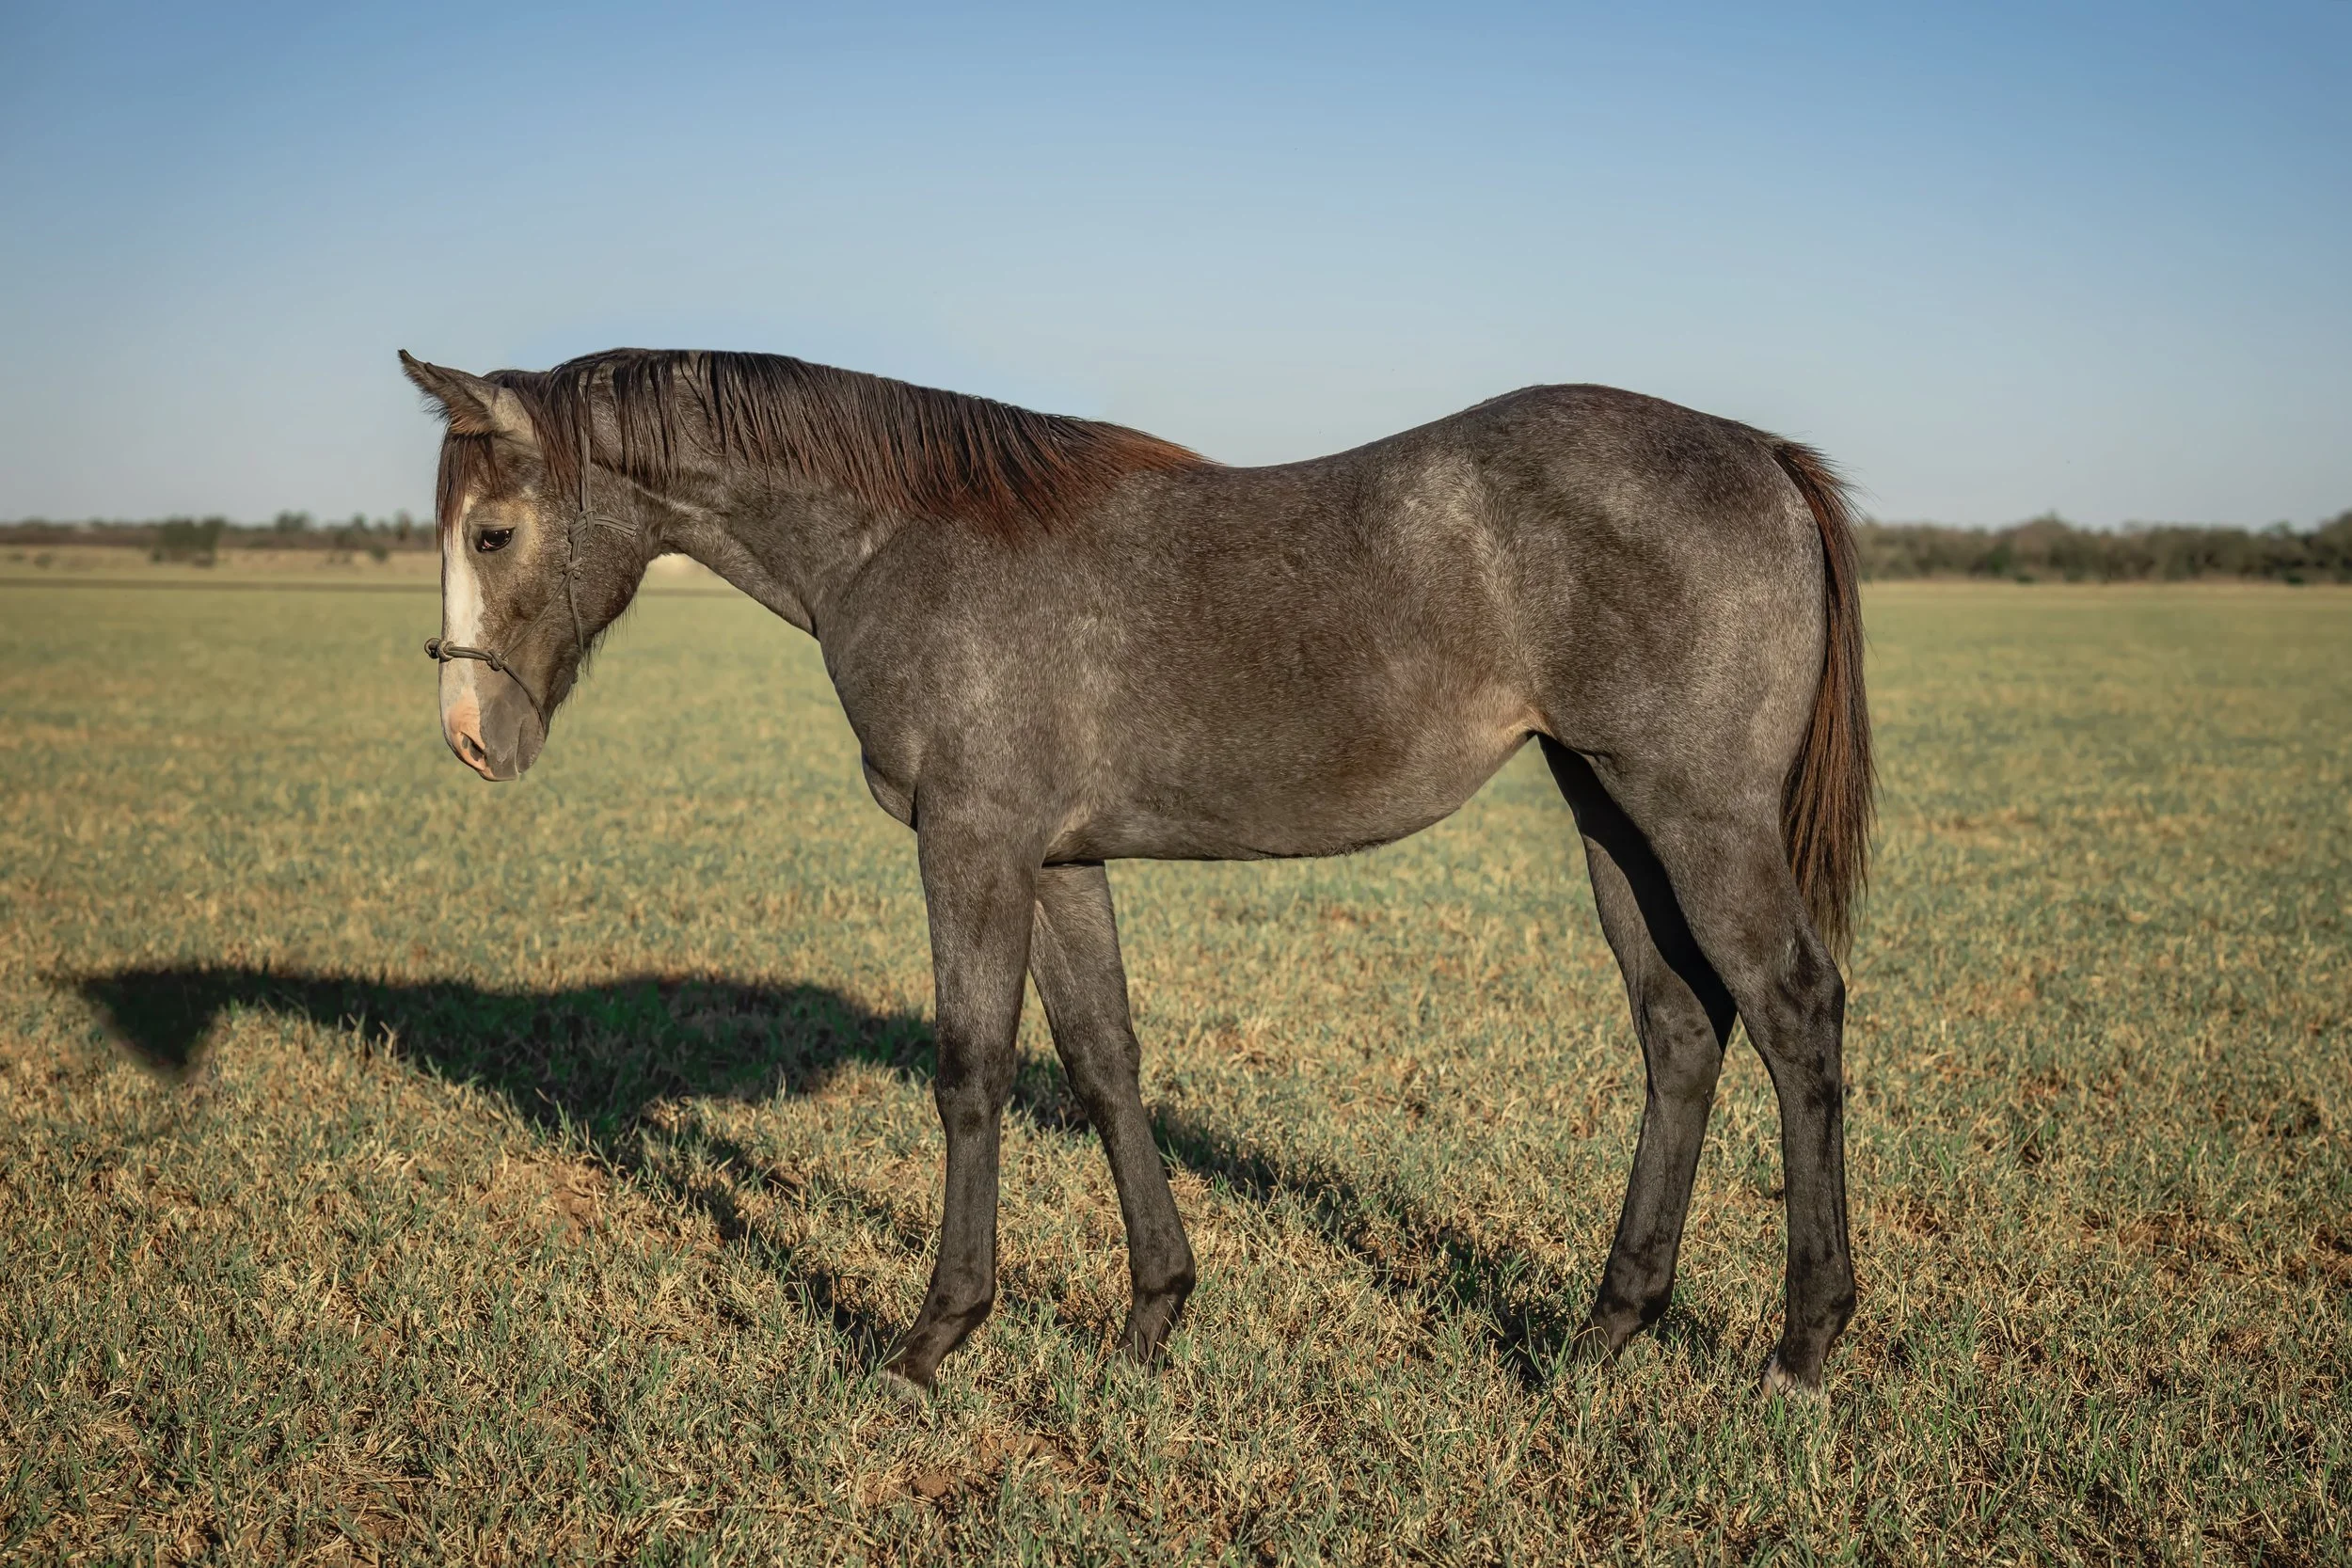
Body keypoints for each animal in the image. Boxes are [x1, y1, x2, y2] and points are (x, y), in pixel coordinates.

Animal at [399, 346, 1873, 1398]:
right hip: (1611, 810)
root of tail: (1758, 452)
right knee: (1680, 1026)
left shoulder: (973, 841)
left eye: (491, 533)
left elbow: (972, 1072)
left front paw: (935, 1334)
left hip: (1698, 813)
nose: (470, 738)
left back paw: (1804, 1344)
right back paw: (1608, 1327)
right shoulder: (1060, 859)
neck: (905, 538)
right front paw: (1153, 1314)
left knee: (1794, 1008)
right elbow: (1103, 1060)